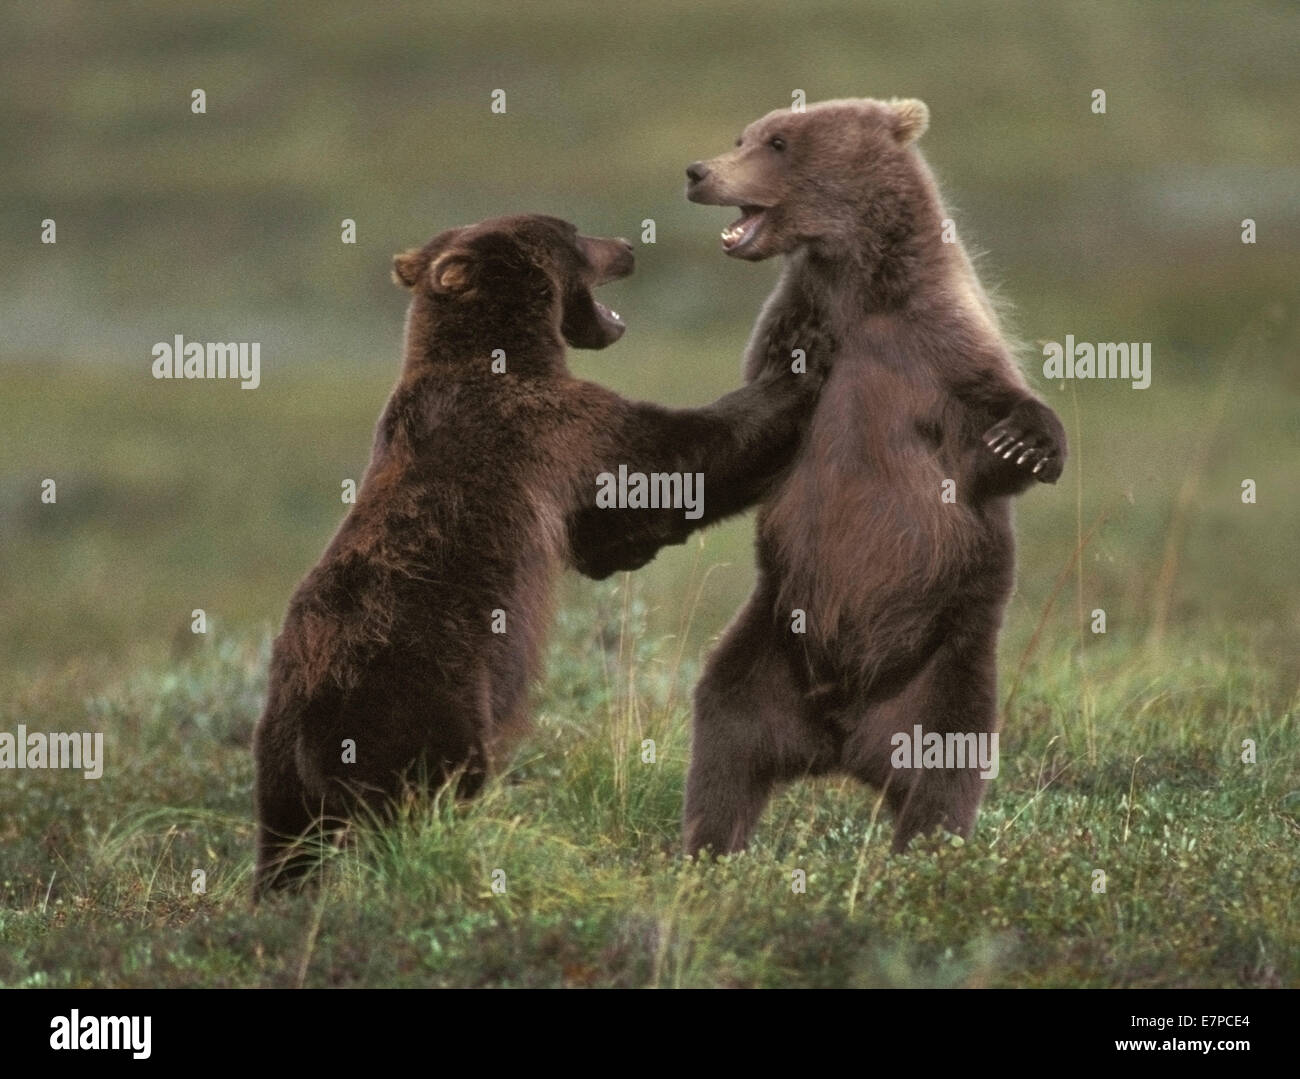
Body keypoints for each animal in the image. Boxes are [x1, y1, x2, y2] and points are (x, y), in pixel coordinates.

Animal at [253, 213, 824, 897]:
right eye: (574, 233)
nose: (626, 246)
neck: (502, 351)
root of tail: (308, 715)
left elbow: (611, 530)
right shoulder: (550, 430)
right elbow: (661, 463)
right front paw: (796, 372)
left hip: (279, 764)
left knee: (289, 848)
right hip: (417, 705)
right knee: (422, 798)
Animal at [680, 98, 1066, 856]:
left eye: (779, 141)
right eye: (745, 135)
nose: (699, 171)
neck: (855, 286)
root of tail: (840, 736)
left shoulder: (936, 344)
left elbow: (987, 435)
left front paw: (1027, 443)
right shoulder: (791, 328)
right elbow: (756, 437)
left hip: (944, 663)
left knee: (948, 760)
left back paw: (926, 846)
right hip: (771, 643)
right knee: (725, 735)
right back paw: (708, 844)